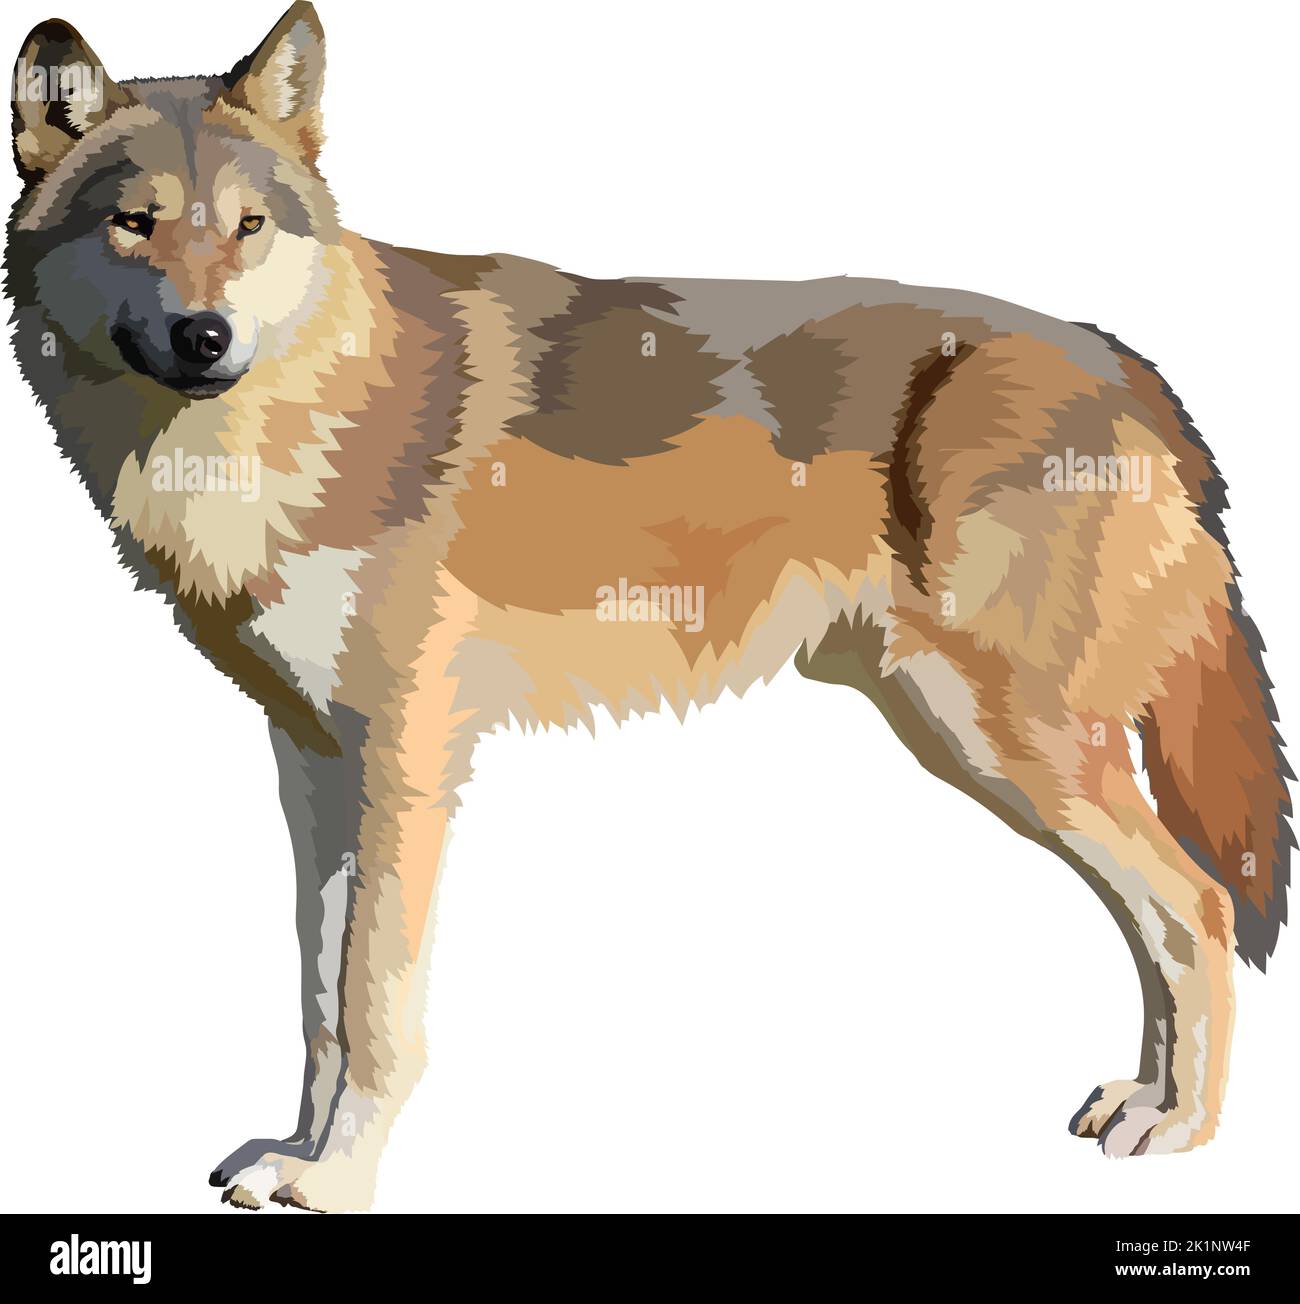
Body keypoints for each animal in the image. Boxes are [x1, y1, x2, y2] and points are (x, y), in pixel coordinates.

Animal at [6, 3, 1291, 1211]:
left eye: (247, 228)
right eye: (136, 223)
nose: (204, 334)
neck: (290, 429)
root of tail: (1126, 361)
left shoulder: (405, 764)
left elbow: (373, 1006)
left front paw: (338, 1180)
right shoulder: (312, 761)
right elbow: (319, 998)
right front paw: (291, 1152)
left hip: (1003, 740)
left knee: (1198, 905)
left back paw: (1180, 1127)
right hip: (974, 742)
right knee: (1161, 915)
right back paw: (1145, 1100)